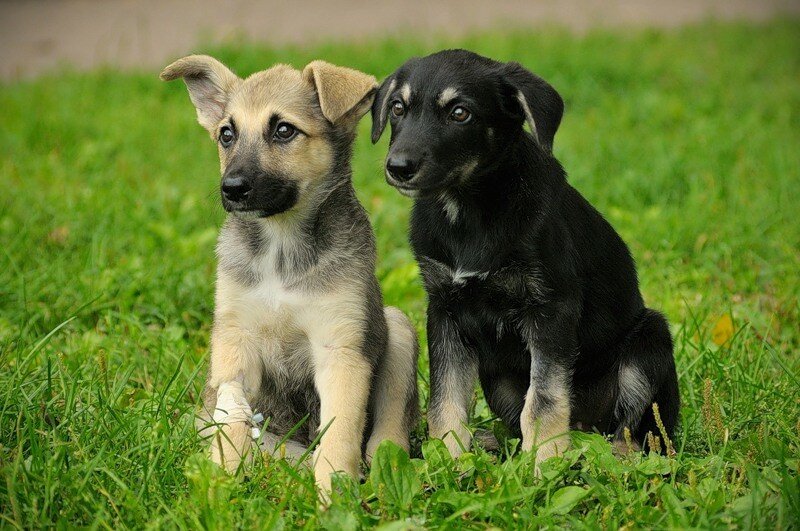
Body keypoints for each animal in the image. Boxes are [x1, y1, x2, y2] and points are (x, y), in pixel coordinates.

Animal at [158, 57, 418, 494]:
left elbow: (339, 433)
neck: (281, 250)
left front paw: (334, 495)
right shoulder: (235, 340)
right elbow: (232, 425)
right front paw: (220, 486)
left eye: (284, 130)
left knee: (388, 432)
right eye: (226, 135)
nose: (231, 188)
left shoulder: (340, 351)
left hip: (396, 326)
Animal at [368, 50, 676, 470]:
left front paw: (543, 461)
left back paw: (611, 457)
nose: (398, 167)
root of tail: (586, 425)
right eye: (398, 108)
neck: (470, 209)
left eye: (460, 113)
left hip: (650, 342)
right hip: (496, 375)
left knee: (638, 430)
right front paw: (450, 457)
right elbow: (446, 399)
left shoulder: (550, 308)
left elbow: (544, 399)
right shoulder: (445, 310)